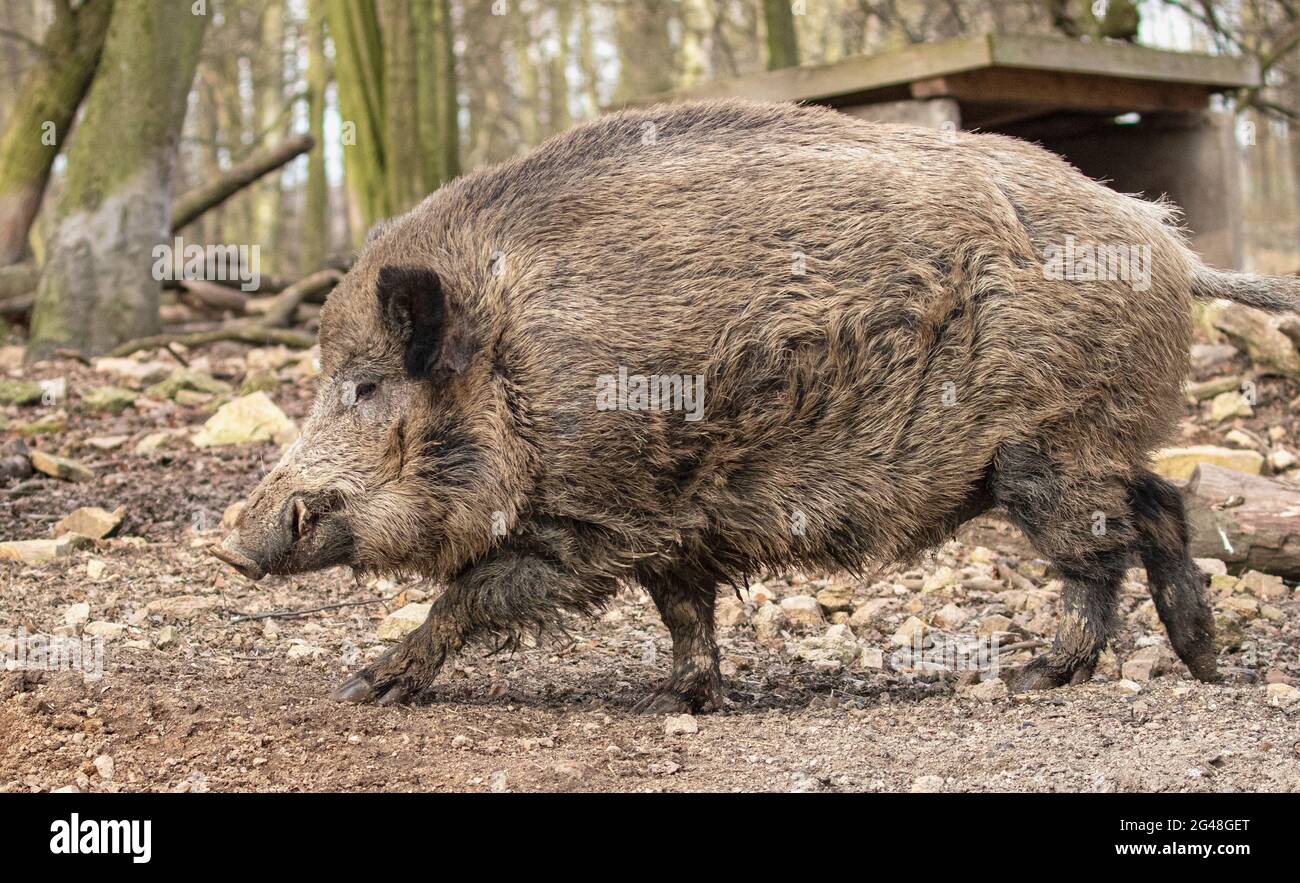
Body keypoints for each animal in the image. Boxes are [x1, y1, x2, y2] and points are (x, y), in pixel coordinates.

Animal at [215, 100, 1300, 711]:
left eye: (365, 386)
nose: (233, 541)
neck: (516, 369)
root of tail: (1169, 245)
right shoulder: (667, 524)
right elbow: (685, 610)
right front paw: (692, 701)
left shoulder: (594, 519)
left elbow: (469, 596)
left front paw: (361, 688)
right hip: (1086, 442)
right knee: (1164, 503)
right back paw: (1198, 662)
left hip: (1047, 446)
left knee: (1106, 550)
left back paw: (1037, 678)